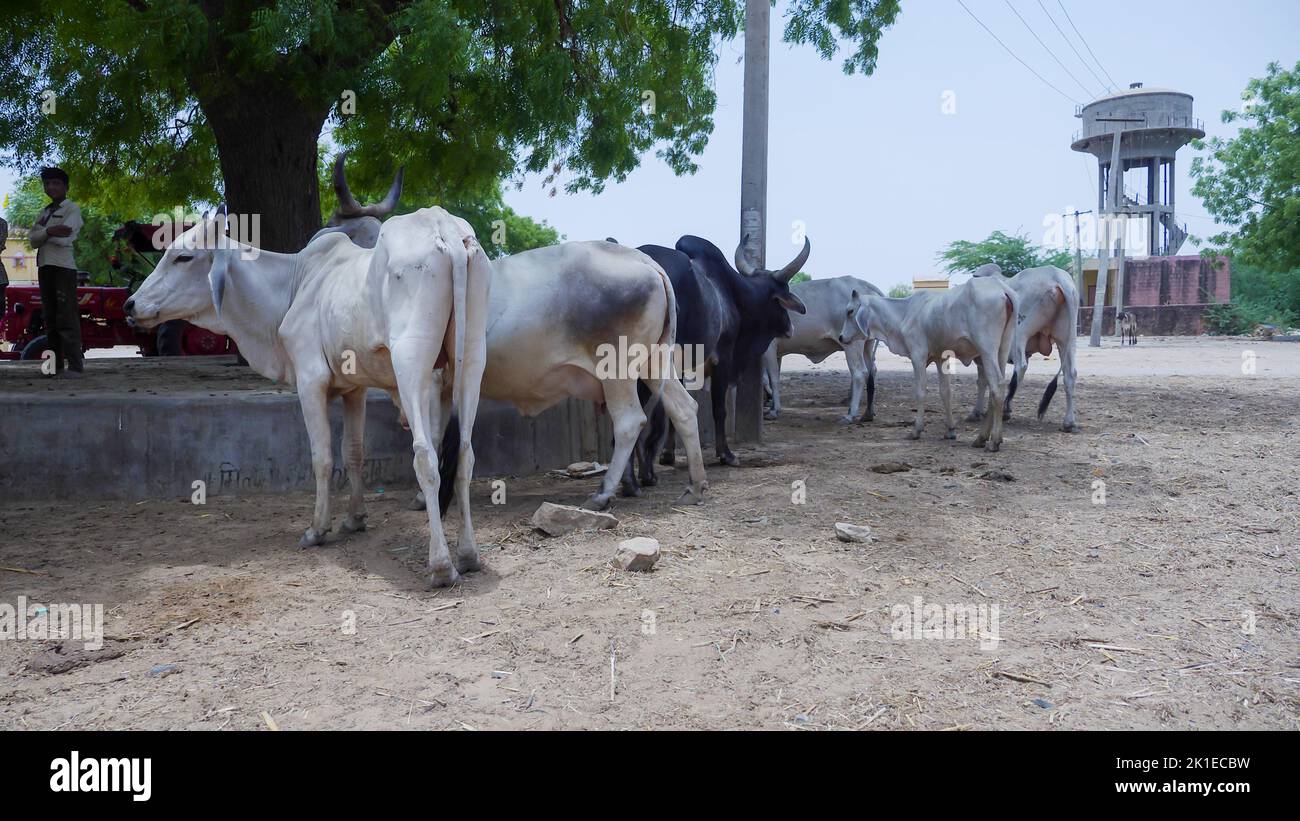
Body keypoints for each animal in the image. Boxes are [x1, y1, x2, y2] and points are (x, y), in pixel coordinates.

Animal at [124, 207, 491, 588]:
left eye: (182, 257)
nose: (130, 304)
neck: (293, 284)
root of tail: (444, 226)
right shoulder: (355, 388)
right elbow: (354, 452)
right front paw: (354, 519)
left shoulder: (310, 381)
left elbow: (322, 457)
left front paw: (317, 529)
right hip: (472, 363)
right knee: (465, 455)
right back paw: (468, 555)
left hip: (412, 366)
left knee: (426, 457)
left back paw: (441, 565)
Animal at [761, 276, 883, 423]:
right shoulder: (777, 353)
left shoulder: (769, 348)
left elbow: (771, 379)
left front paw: (774, 410)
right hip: (867, 345)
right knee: (872, 371)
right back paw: (868, 413)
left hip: (852, 343)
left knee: (859, 373)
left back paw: (850, 414)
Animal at [838, 277, 1026, 451]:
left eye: (850, 311)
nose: (841, 337)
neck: (904, 313)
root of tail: (1001, 288)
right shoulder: (941, 358)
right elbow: (945, 393)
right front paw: (950, 431)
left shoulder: (918, 355)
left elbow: (920, 392)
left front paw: (916, 430)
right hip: (1002, 348)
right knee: (995, 388)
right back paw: (981, 438)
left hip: (986, 348)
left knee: (997, 385)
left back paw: (994, 441)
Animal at [969, 264, 1080, 431]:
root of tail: (1058, 276)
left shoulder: (984, 354)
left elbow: (983, 380)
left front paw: (976, 412)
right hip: (1066, 339)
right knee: (1070, 374)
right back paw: (1069, 422)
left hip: (1021, 333)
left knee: (1021, 367)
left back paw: (1006, 410)